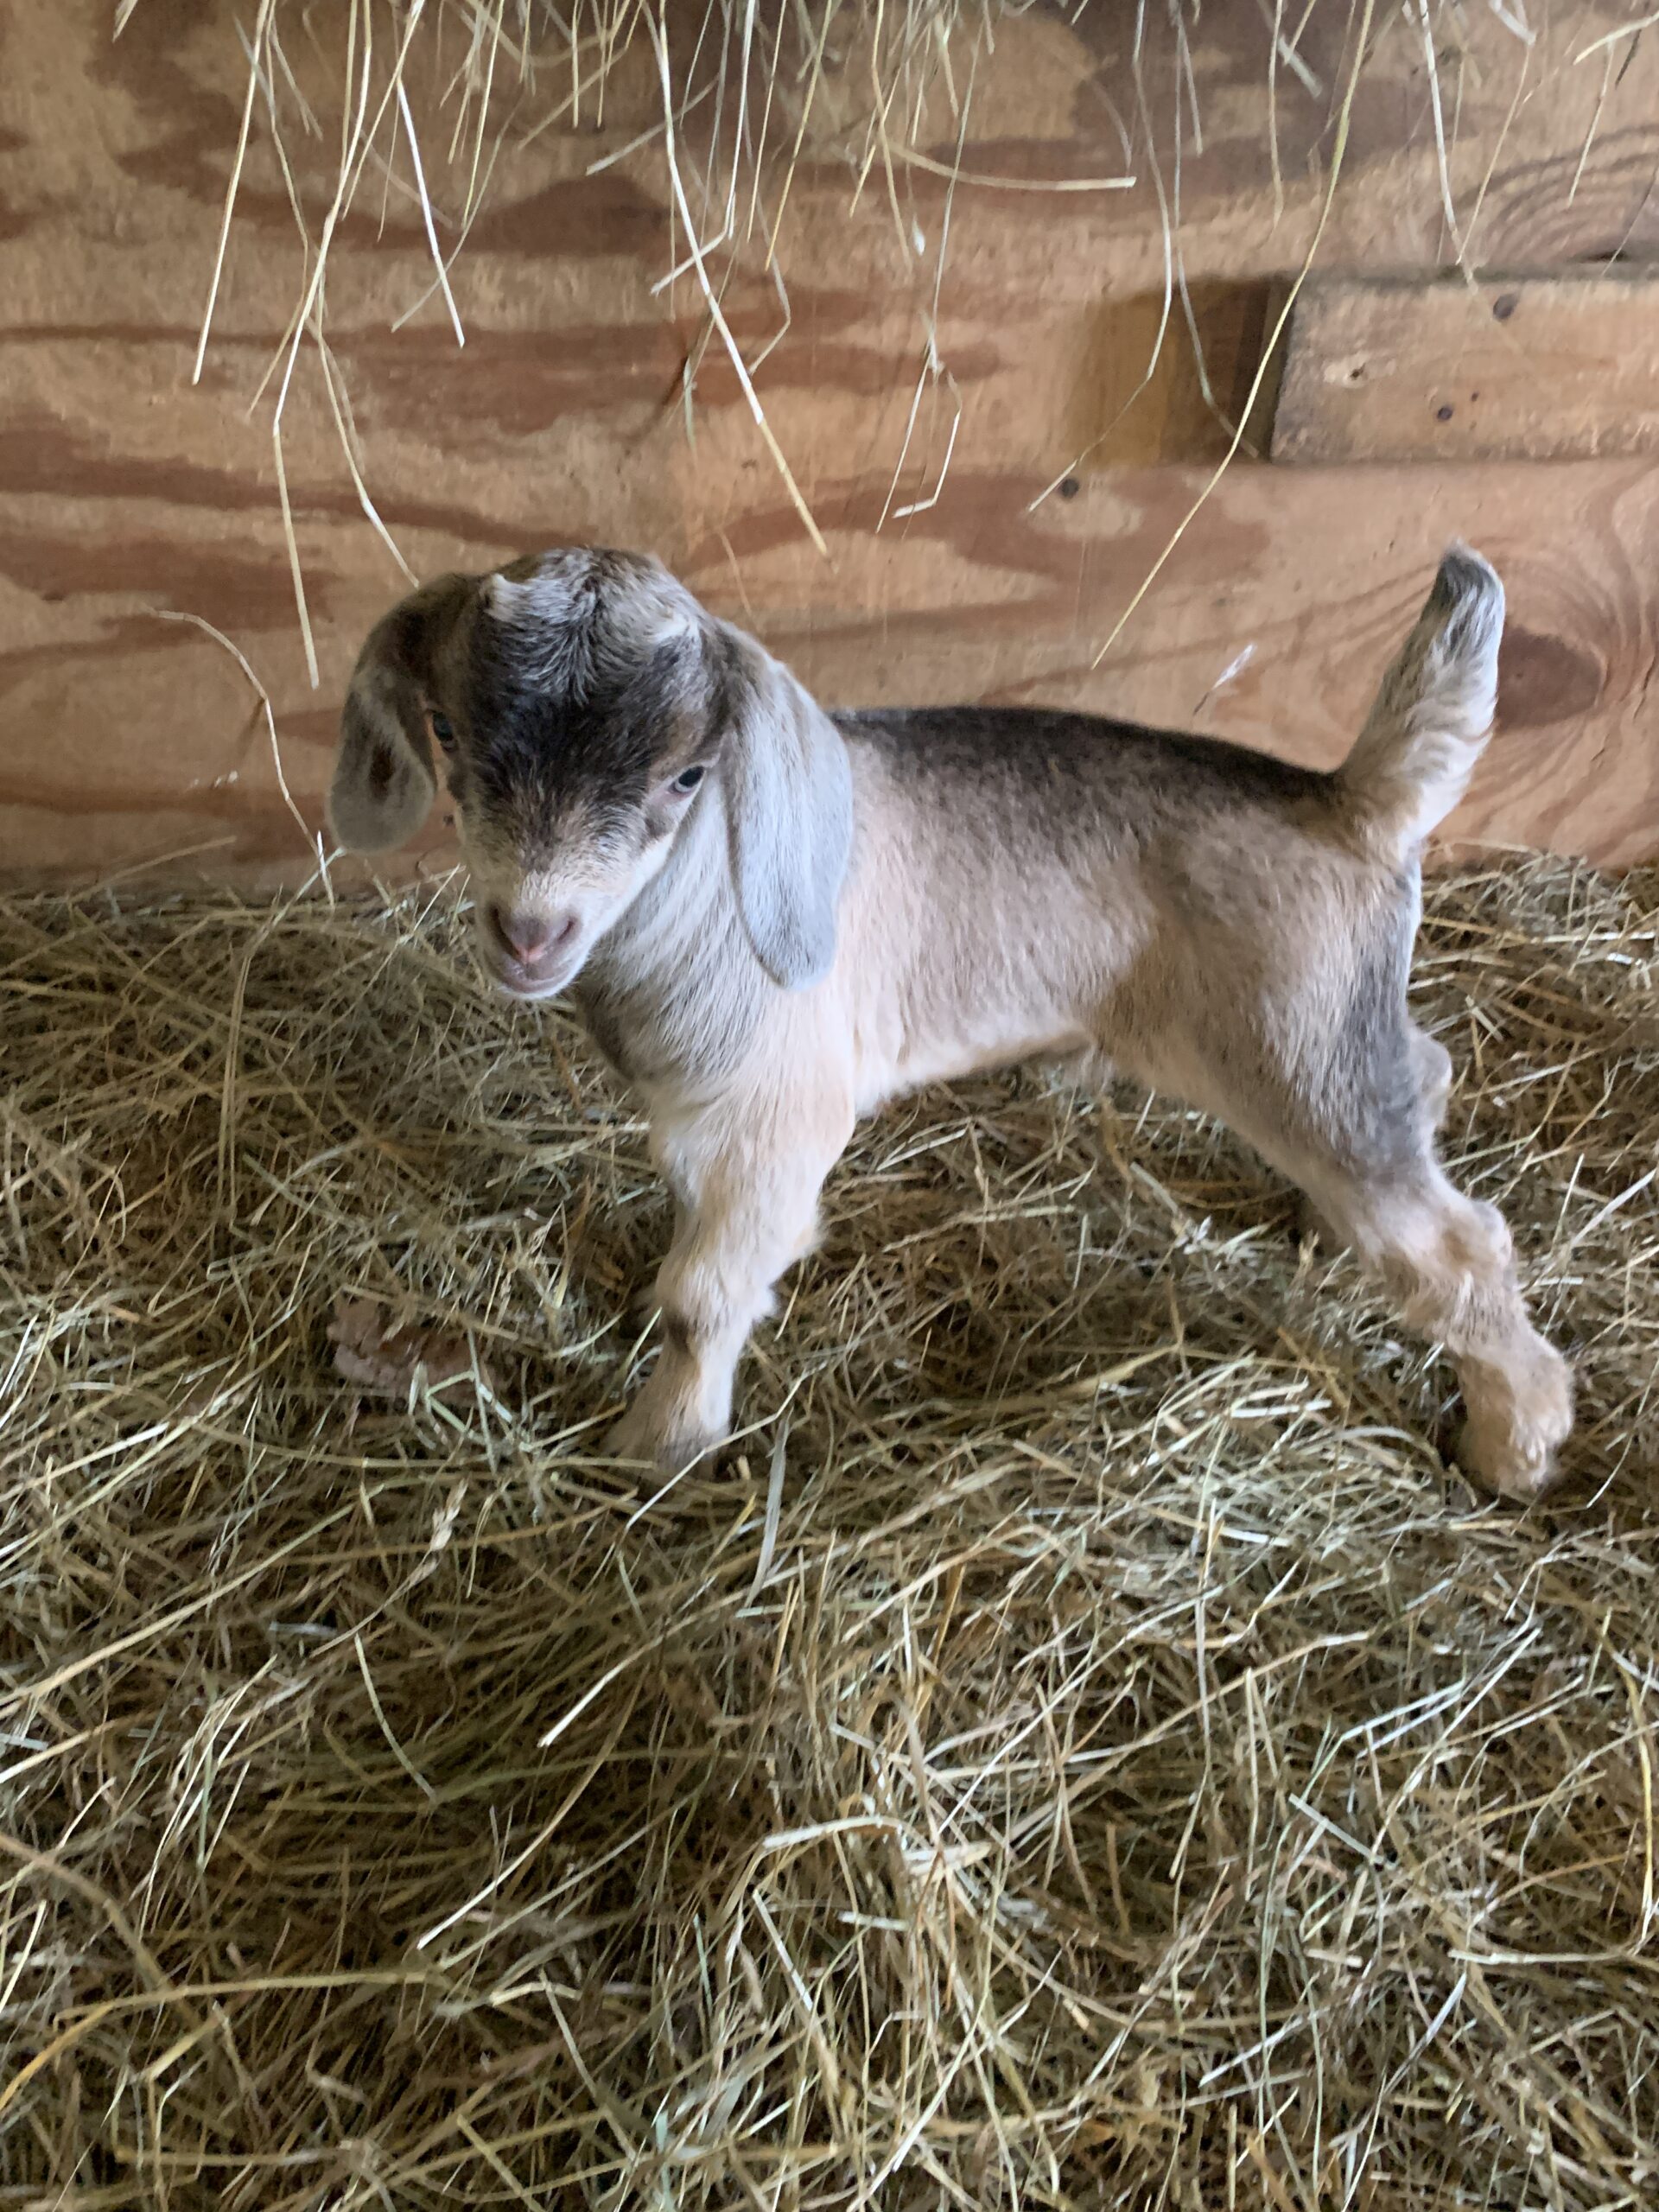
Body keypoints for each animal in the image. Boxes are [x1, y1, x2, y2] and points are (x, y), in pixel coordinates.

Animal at [329, 545, 1573, 1502]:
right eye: (445, 728)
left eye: (687, 777)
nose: (531, 932)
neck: (694, 917)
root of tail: (1352, 802)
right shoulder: (700, 1118)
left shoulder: (778, 1115)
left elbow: (705, 1296)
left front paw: (661, 1443)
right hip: (1328, 1036)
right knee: (1424, 1067)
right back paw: (1333, 1232)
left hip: (1295, 1047)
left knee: (1458, 1242)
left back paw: (1516, 1440)